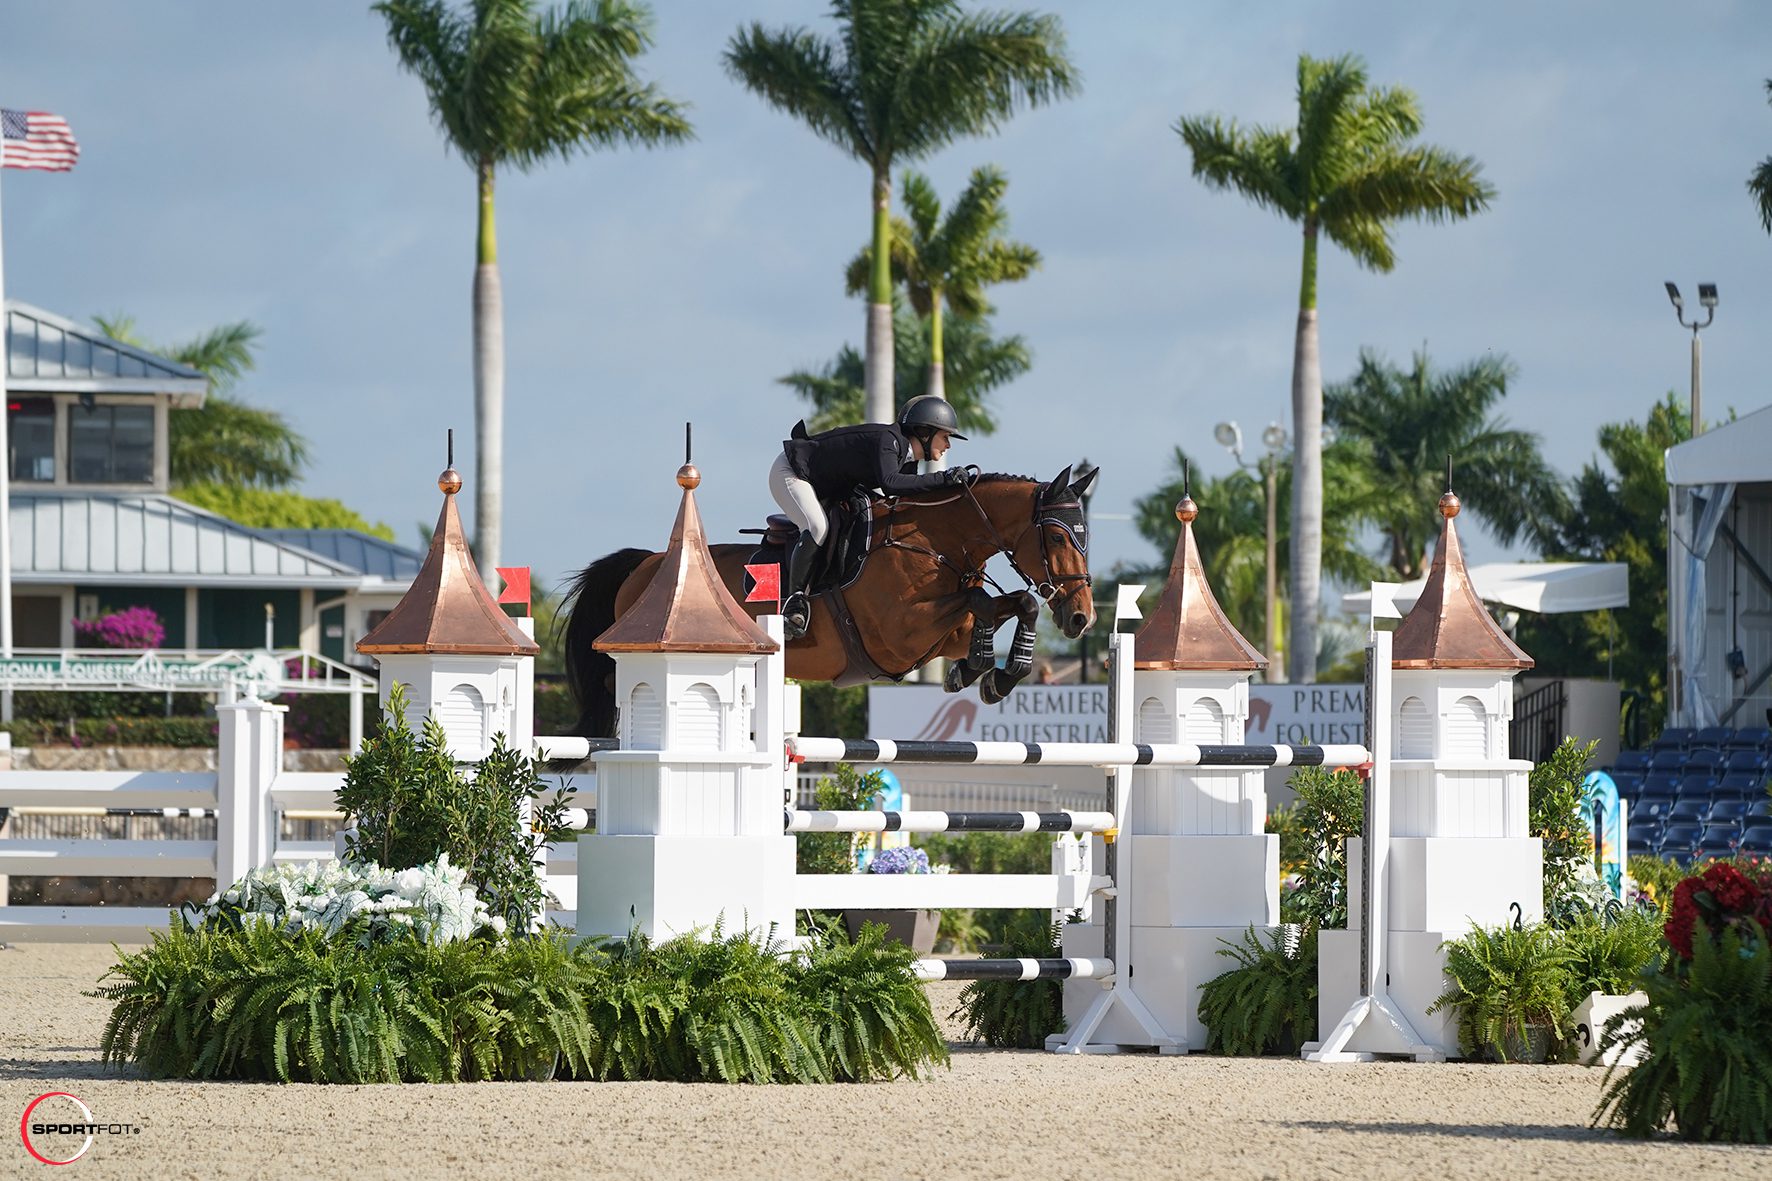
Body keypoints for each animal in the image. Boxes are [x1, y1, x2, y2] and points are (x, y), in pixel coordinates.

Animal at [561, 464, 1098, 738]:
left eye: (1085, 535)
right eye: (1056, 537)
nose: (1081, 618)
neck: (931, 538)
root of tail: (646, 564)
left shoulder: (938, 634)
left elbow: (1007, 605)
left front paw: (984, 673)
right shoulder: (901, 634)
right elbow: (984, 600)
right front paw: (990, 672)